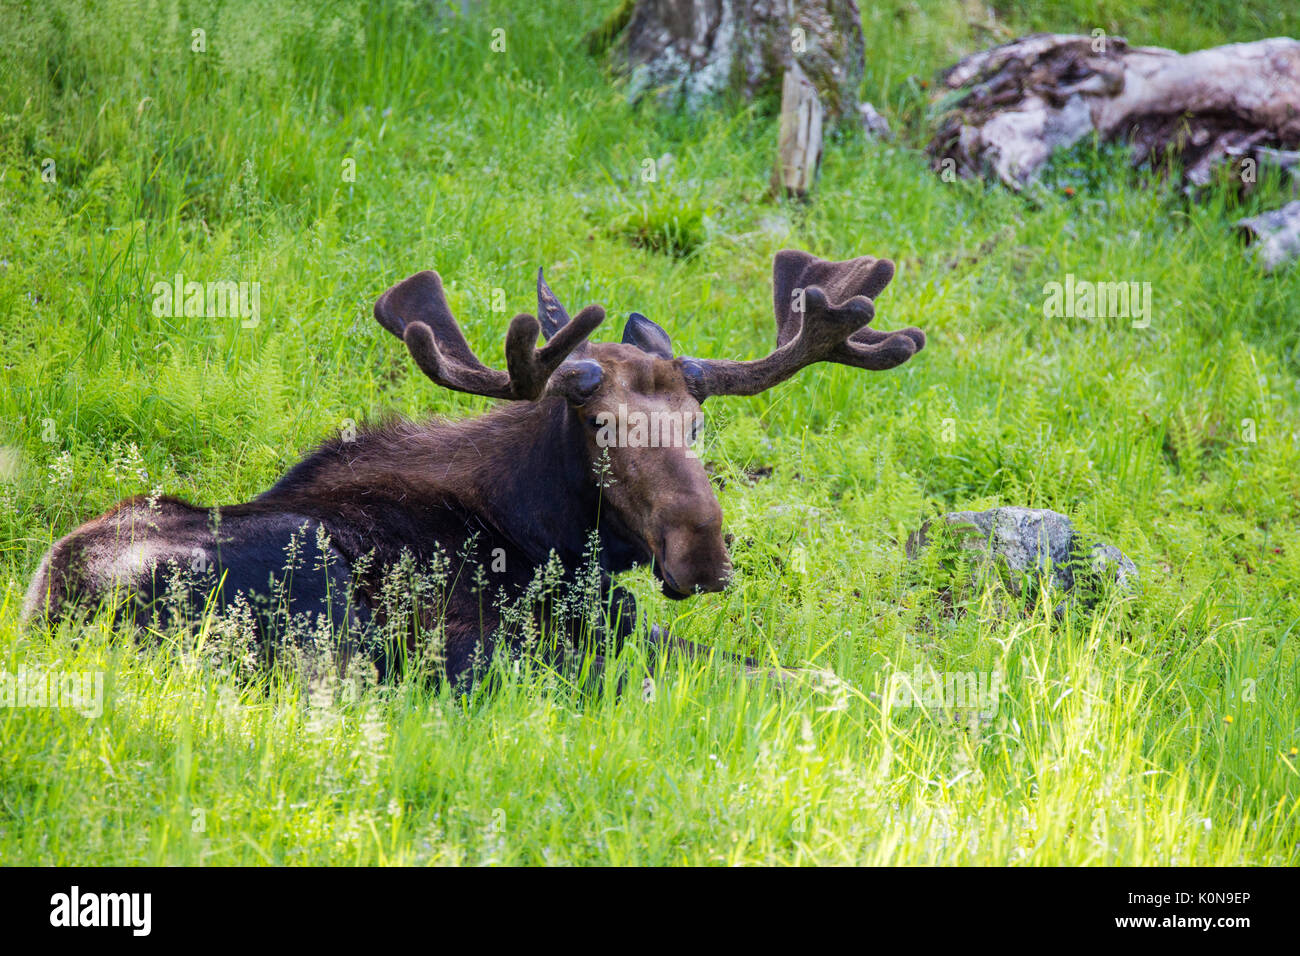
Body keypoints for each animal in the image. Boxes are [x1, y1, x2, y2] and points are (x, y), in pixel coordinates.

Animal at [22, 250, 925, 687]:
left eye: (698, 423)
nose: (699, 553)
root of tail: (51, 612)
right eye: (597, 423)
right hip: (324, 597)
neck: (546, 534)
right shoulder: (513, 638)